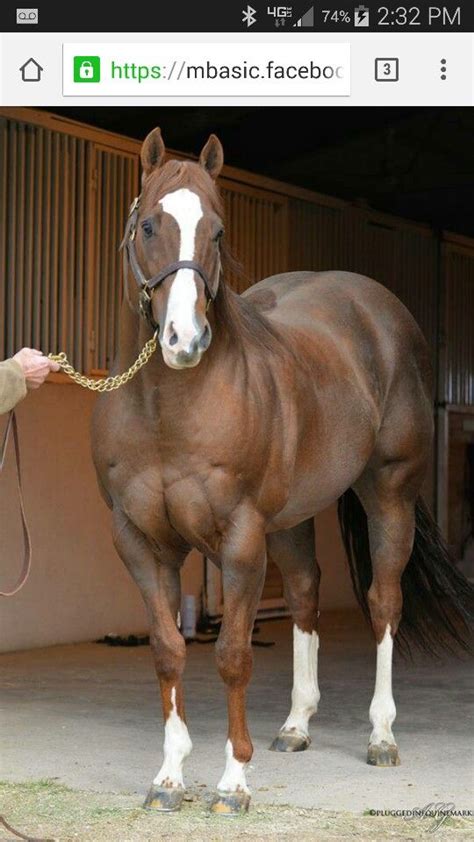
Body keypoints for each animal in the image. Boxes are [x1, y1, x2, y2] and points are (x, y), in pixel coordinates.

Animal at [91, 127, 473, 814]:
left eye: (217, 231)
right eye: (150, 225)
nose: (184, 339)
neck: (167, 406)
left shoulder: (240, 539)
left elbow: (233, 655)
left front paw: (232, 783)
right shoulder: (140, 541)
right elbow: (167, 651)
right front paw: (169, 777)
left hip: (388, 494)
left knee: (383, 602)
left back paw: (381, 736)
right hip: (291, 519)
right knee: (303, 595)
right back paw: (296, 725)